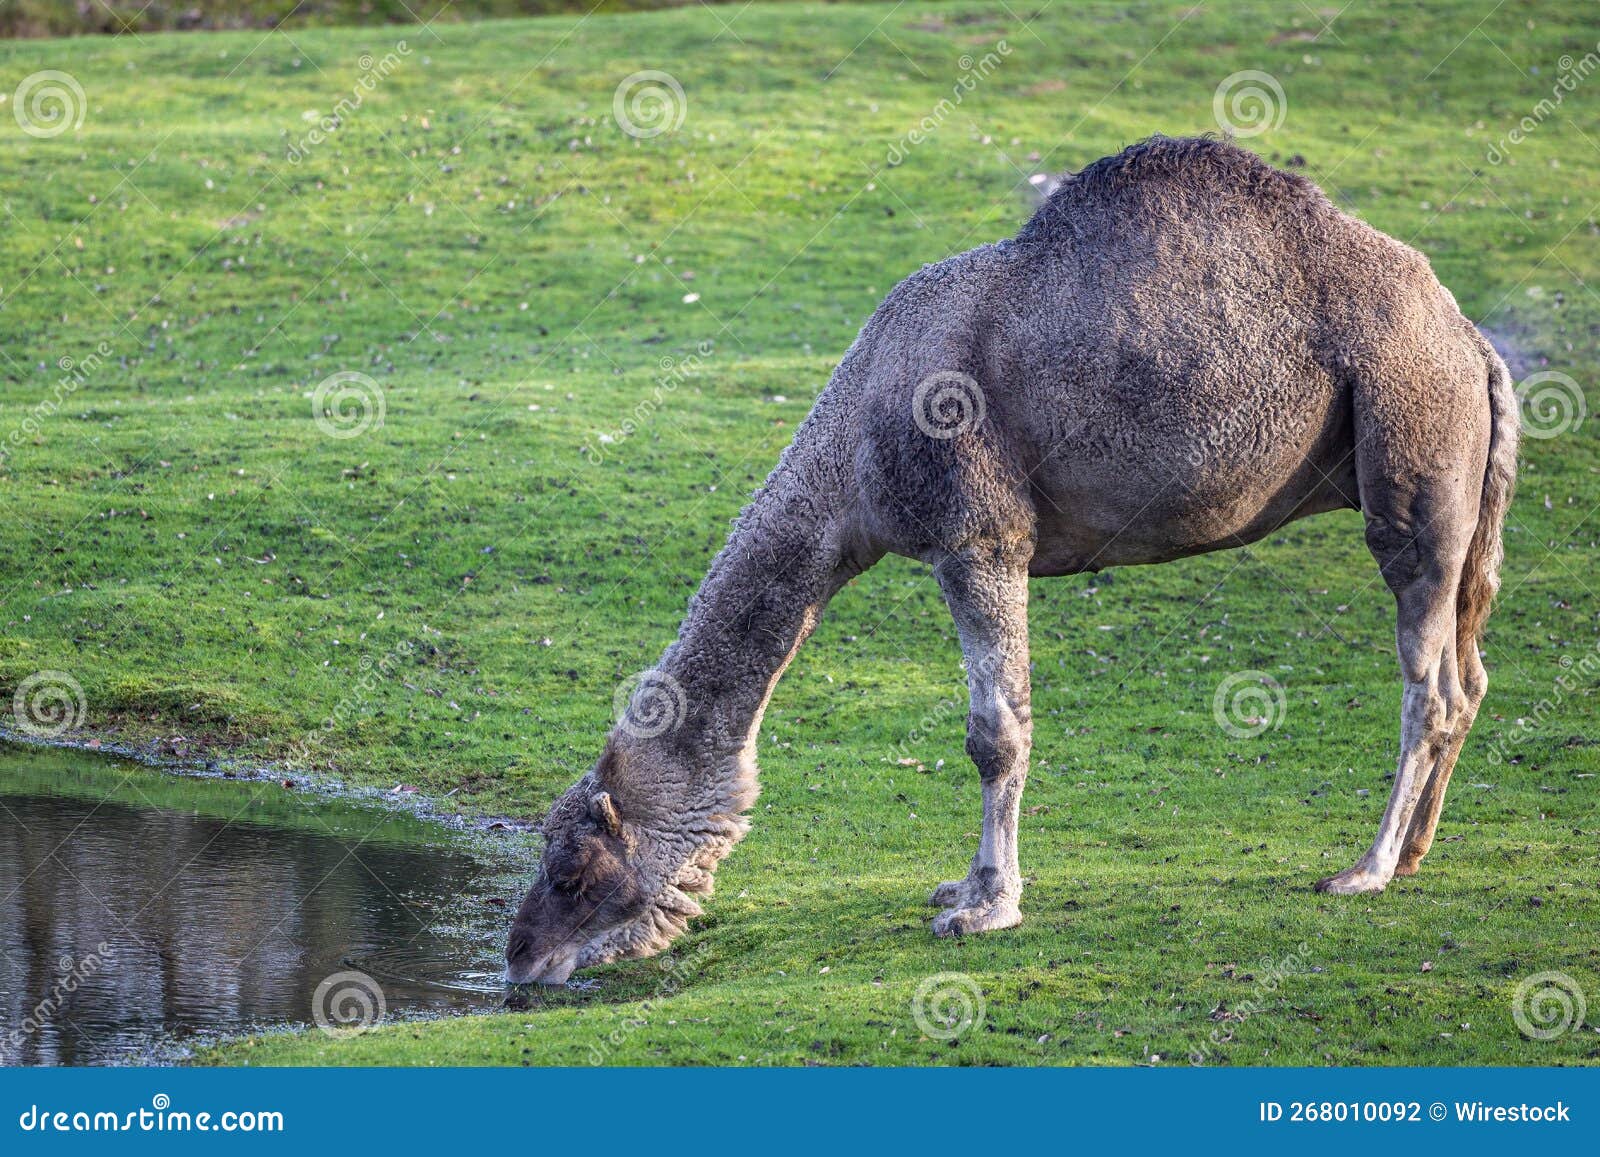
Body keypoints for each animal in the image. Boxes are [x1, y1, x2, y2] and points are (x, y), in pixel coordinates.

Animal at [506, 136, 1518, 985]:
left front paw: (988, 909)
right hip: (1451, 478)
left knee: (1428, 675)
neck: (854, 446)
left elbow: (994, 730)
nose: (519, 961)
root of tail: (1472, 342)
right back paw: (1417, 850)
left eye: (572, 870)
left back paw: (1365, 868)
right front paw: (960, 886)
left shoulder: (978, 535)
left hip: (1410, 435)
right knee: (1470, 670)